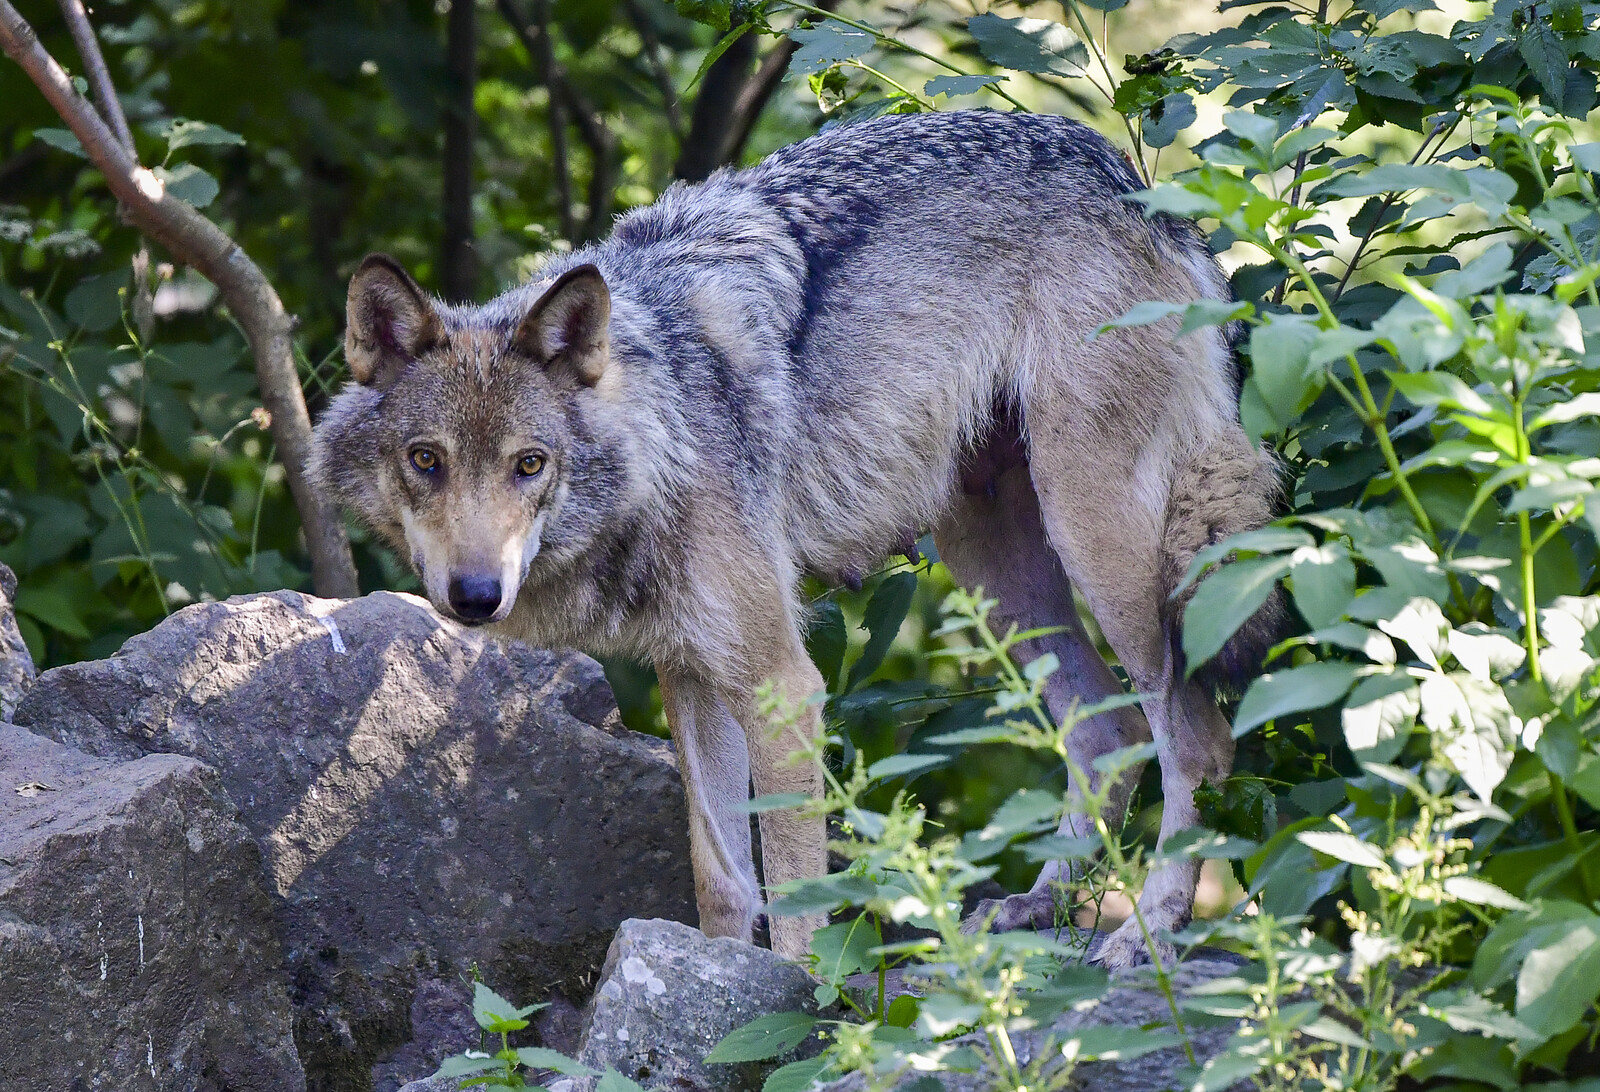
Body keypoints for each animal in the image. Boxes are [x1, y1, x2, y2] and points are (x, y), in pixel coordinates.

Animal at [308, 109, 1281, 968]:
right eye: (426, 460)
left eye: (529, 464)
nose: (476, 597)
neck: (663, 428)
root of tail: (1137, 183)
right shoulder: (693, 674)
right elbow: (723, 880)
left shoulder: (782, 684)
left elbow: (799, 894)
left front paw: (805, 1010)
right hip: (995, 571)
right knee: (1104, 729)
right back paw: (1039, 906)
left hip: (1100, 545)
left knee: (1192, 738)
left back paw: (1147, 932)